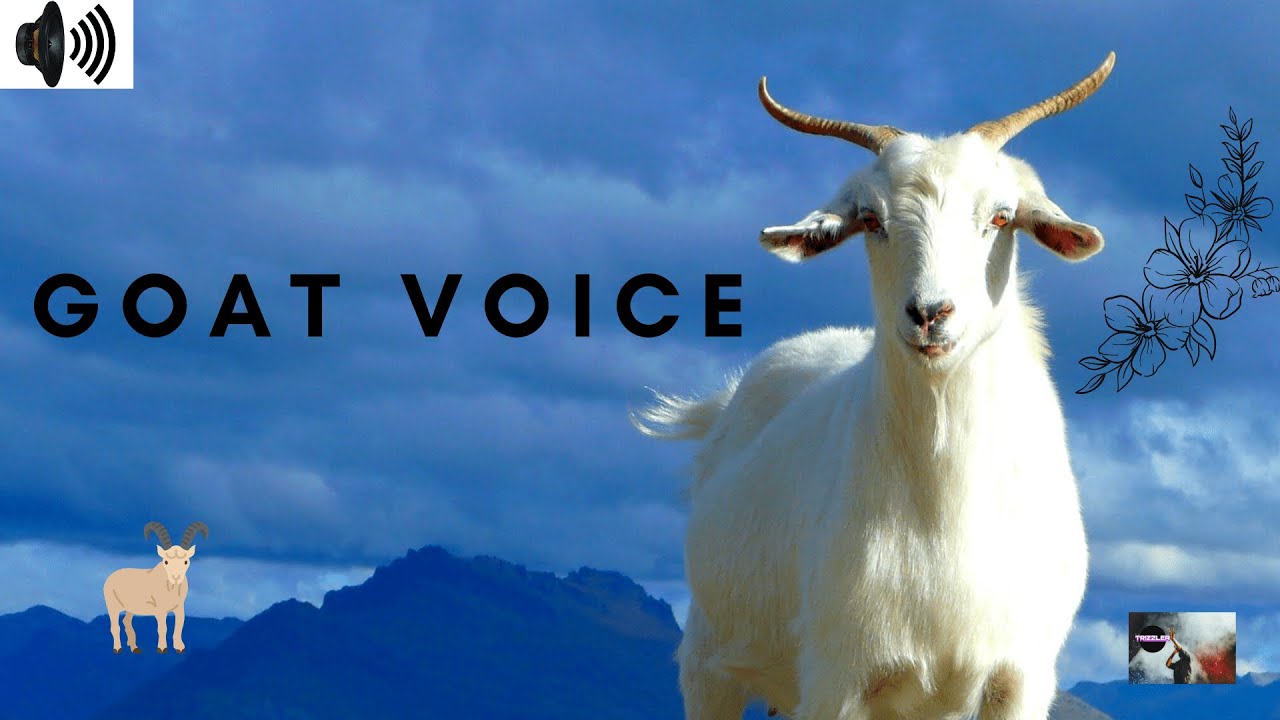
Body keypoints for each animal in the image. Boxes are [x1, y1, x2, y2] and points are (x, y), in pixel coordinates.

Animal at [103, 521, 208, 654]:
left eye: (186, 561)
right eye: (166, 561)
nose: (176, 577)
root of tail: (109, 578)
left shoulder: (179, 607)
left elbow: (179, 626)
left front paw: (179, 647)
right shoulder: (160, 610)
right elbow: (163, 628)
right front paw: (162, 648)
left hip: (130, 608)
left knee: (126, 621)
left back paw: (134, 648)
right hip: (112, 606)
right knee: (115, 627)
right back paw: (118, 648)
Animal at [633, 53, 1114, 719]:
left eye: (1000, 217)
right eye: (870, 219)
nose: (930, 313)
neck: (945, 510)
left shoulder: (1019, 678)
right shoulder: (839, 676)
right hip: (708, 663)